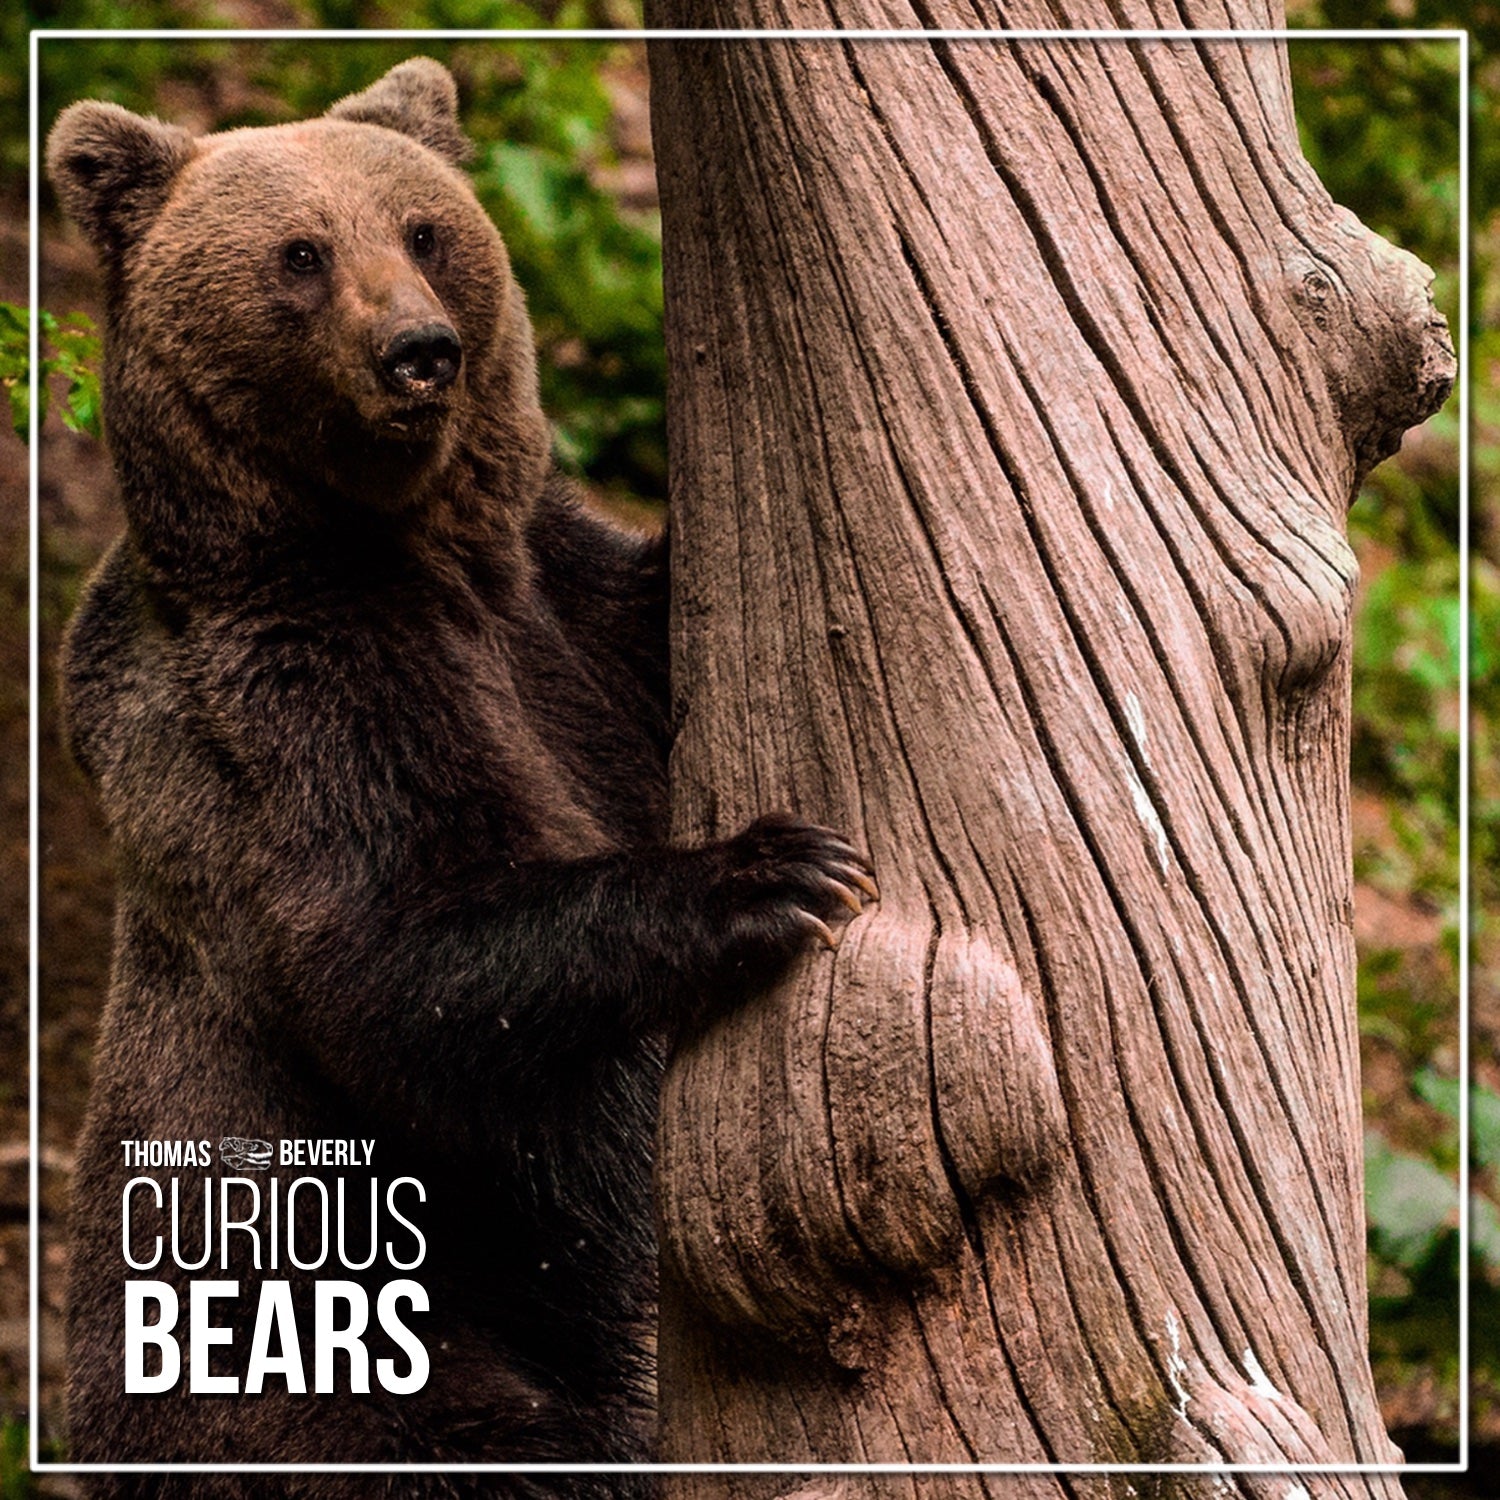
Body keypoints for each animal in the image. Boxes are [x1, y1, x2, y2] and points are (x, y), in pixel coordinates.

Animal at [46, 58, 875, 1496]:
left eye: (426, 230)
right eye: (301, 254)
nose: (417, 351)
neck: (420, 553)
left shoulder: (569, 615)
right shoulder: (293, 698)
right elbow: (400, 946)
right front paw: (774, 871)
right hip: (346, 1359)